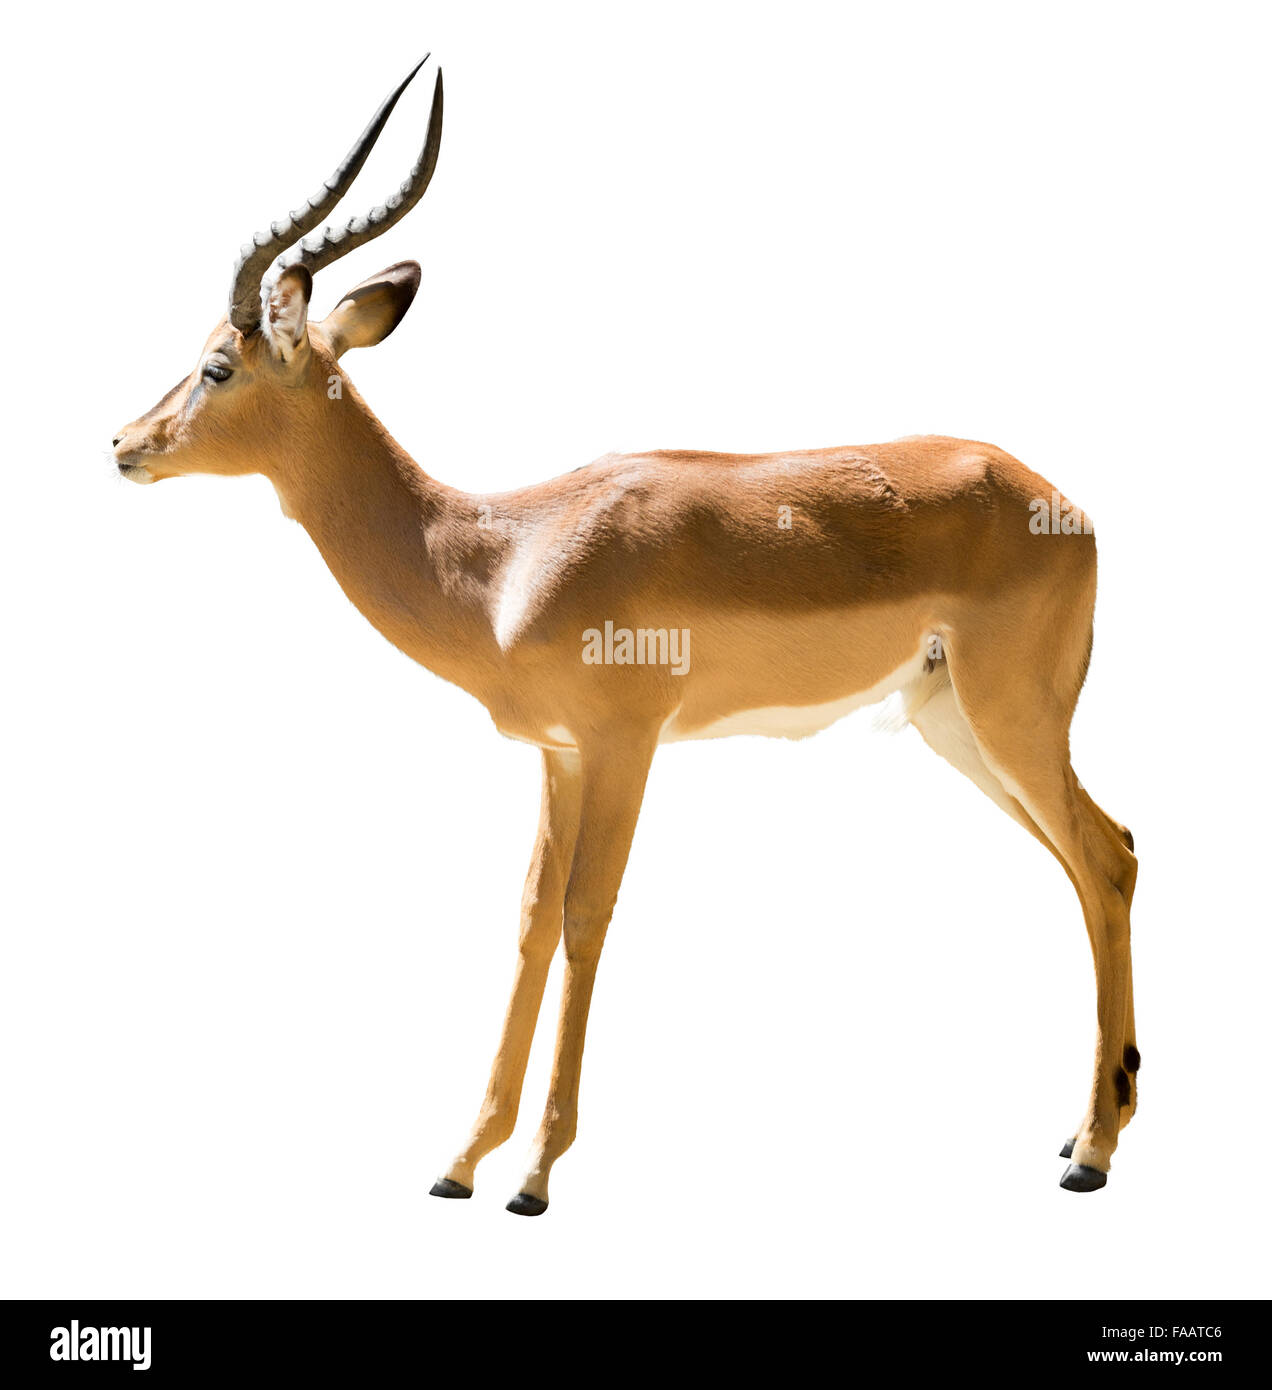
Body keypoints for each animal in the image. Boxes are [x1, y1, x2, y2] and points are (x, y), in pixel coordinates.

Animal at [113, 56, 1139, 1215]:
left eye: (216, 365)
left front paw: (532, 1174)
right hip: (955, 724)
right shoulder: (558, 756)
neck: (502, 556)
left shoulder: (624, 745)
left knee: (1106, 859)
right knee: (1095, 861)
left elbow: (586, 917)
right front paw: (460, 1160)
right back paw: (1078, 1132)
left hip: (1011, 718)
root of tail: (1062, 502)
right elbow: (527, 919)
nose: (123, 445)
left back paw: (1095, 1155)